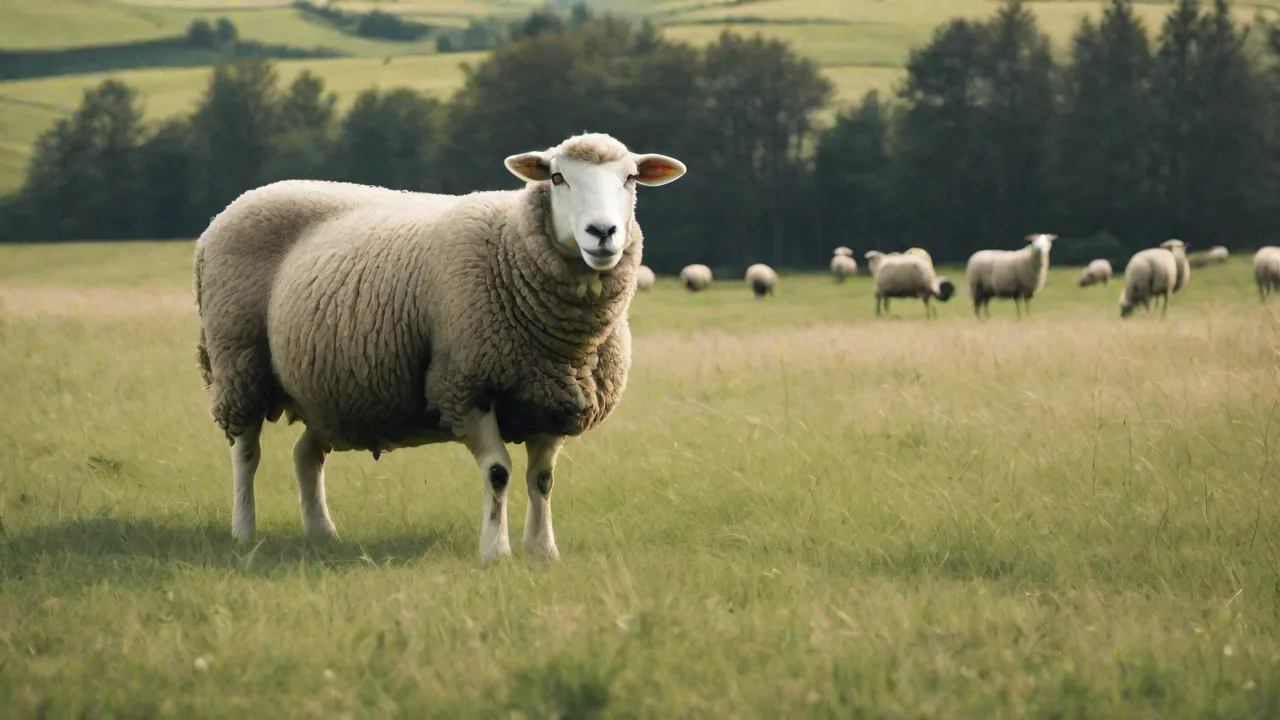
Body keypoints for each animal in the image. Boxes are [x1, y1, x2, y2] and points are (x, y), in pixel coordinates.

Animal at [193, 131, 687, 563]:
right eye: (558, 177)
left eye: (630, 178)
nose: (602, 232)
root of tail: (234, 205)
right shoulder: (464, 385)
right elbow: (499, 472)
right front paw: (495, 552)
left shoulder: (555, 397)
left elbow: (542, 480)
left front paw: (543, 552)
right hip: (239, 360)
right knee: (246, 452)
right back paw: (244, 530)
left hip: (328, 388)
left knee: (305, 455)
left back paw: (322, 533)